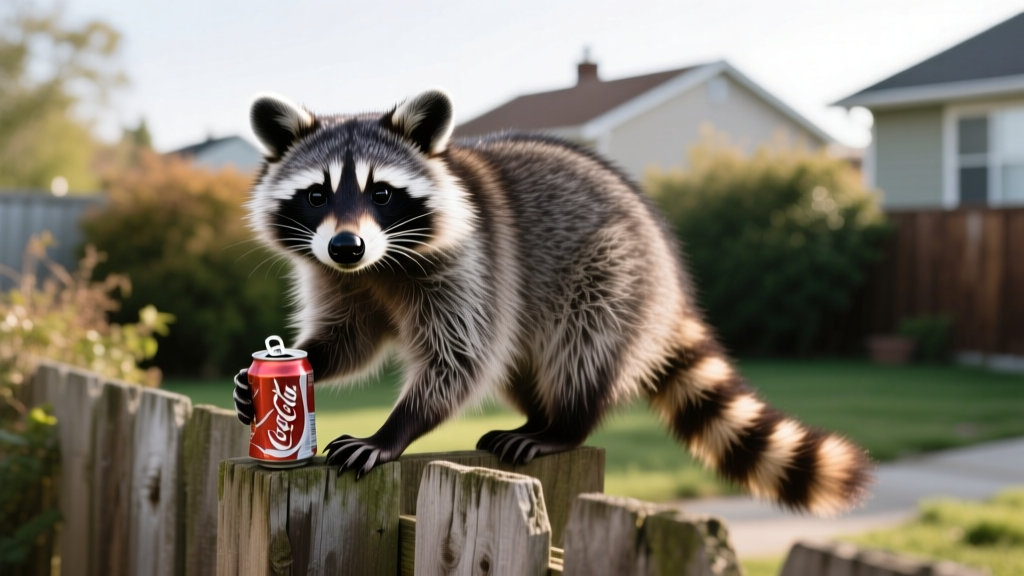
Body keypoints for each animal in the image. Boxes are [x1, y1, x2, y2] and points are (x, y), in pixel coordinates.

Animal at [232, 89, 871, 515]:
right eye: (317, 195)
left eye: (382, 193)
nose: (347, 245)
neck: (379, 266)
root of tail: (672, 275)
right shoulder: (336, 275)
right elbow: (351, 340)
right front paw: (293, 365)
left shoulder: (473, 263)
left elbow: (460, 358)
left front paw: (393, 431)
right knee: (526, 361)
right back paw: (539, 415)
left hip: (615, 277)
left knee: (581, 348)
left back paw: (564, 425)